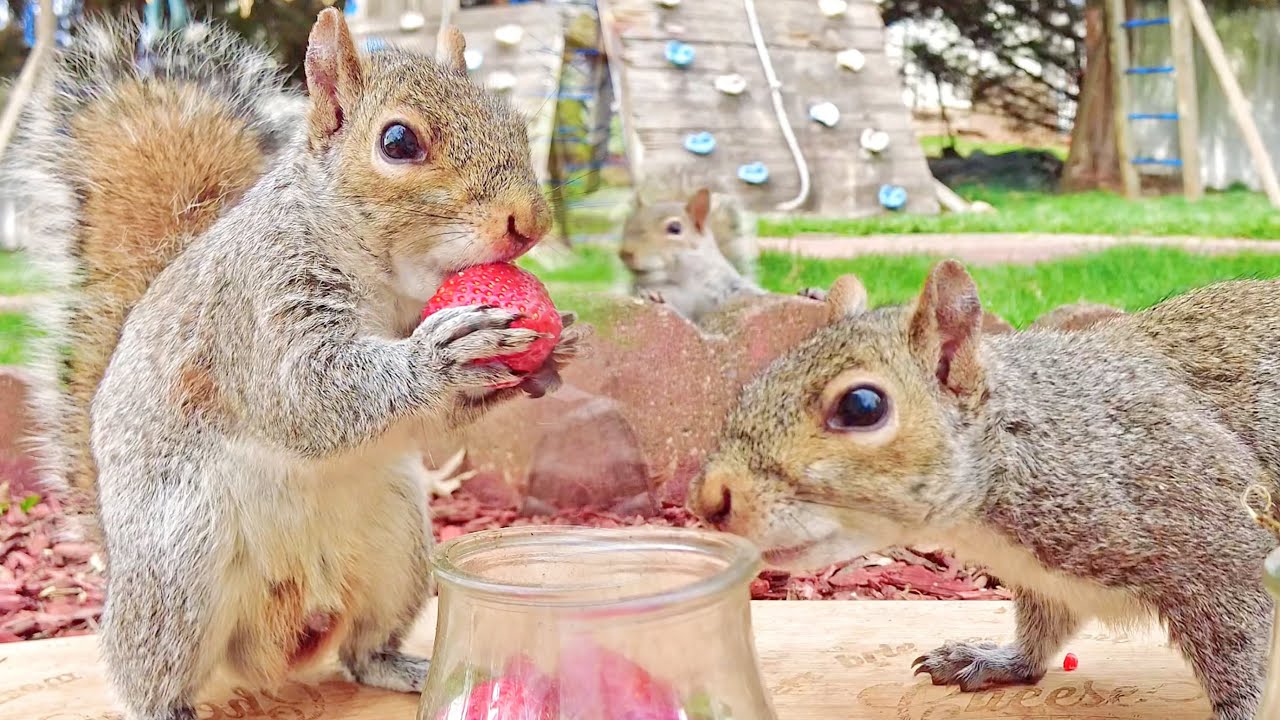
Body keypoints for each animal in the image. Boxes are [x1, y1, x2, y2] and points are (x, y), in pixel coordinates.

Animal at [13, 11, 579, 720]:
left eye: (514, 122)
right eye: (399, 141)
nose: (529, 222)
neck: (390, 280)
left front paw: (553, 353)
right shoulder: (261, 305)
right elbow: (307, 392)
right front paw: (437, 358)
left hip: (398, 545)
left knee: (363, 649)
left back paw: (401, 666)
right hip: (177, 570)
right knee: (145, 672)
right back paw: (166, 703)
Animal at [618, 187, 767, 325]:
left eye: (675, 228)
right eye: (627, 222)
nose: (625, 253)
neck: (685, 281)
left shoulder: (725, 283)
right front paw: (649, 294)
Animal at [689, 261, 1277, 720]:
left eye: (862, 406)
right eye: (757, 381)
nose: (711, 499)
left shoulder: (1222, 554)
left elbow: (1243, 657)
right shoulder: (1045, 579)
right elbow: (1042, 631)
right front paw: (996, 660)